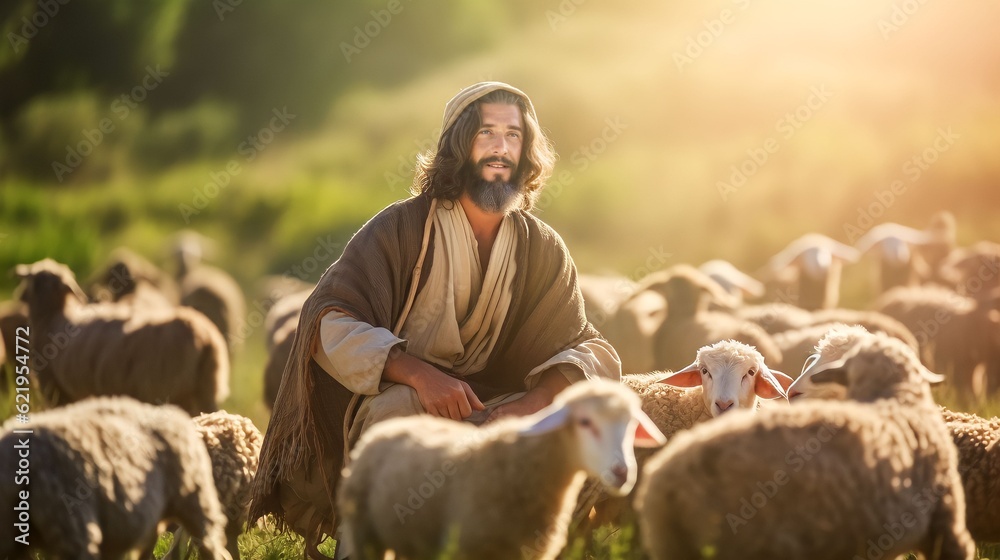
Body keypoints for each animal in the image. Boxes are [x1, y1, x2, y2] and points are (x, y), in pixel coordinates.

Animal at [16, 258, 230, 415]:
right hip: (204, 390)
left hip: (163, 392)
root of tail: (204, 338)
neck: (54, 315)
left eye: (33, 279)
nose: (20, 296)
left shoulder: (55, 390)